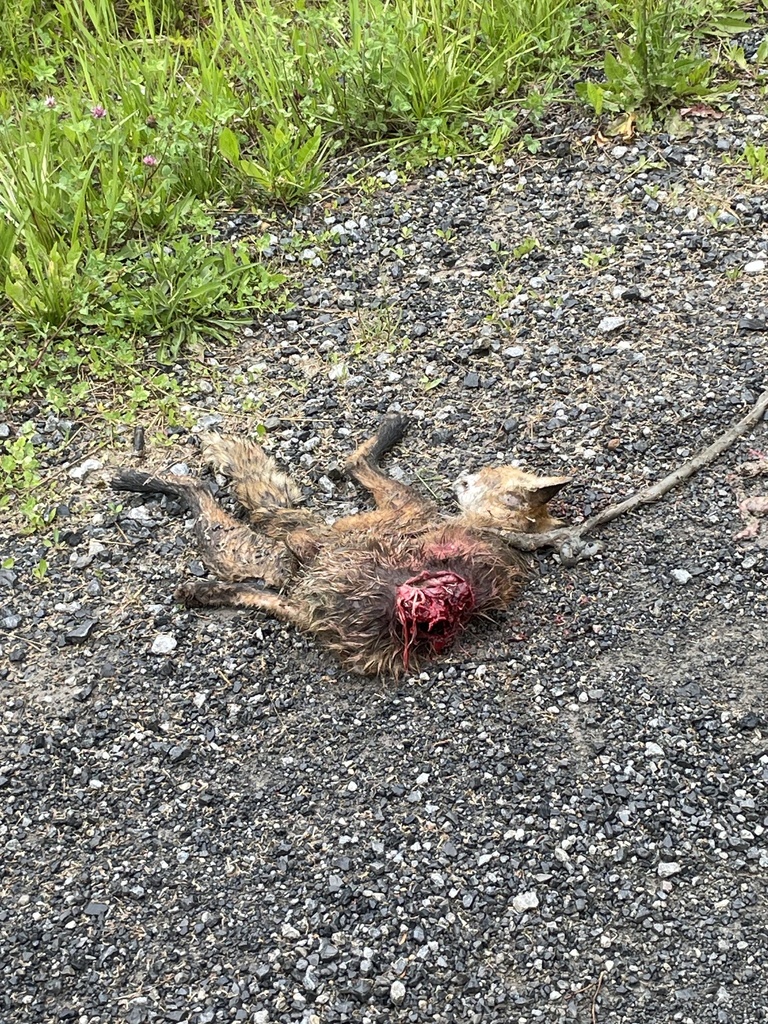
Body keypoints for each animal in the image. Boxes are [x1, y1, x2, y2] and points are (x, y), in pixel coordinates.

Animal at [112, 414, 570, 677]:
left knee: (210, 495)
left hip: (263, 545)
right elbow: (358, 463)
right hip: (284, 580)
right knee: (248, 584)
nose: (464, 476)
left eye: (489, 476)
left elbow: (356, 462)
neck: (495, 533)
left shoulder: (400, 509)